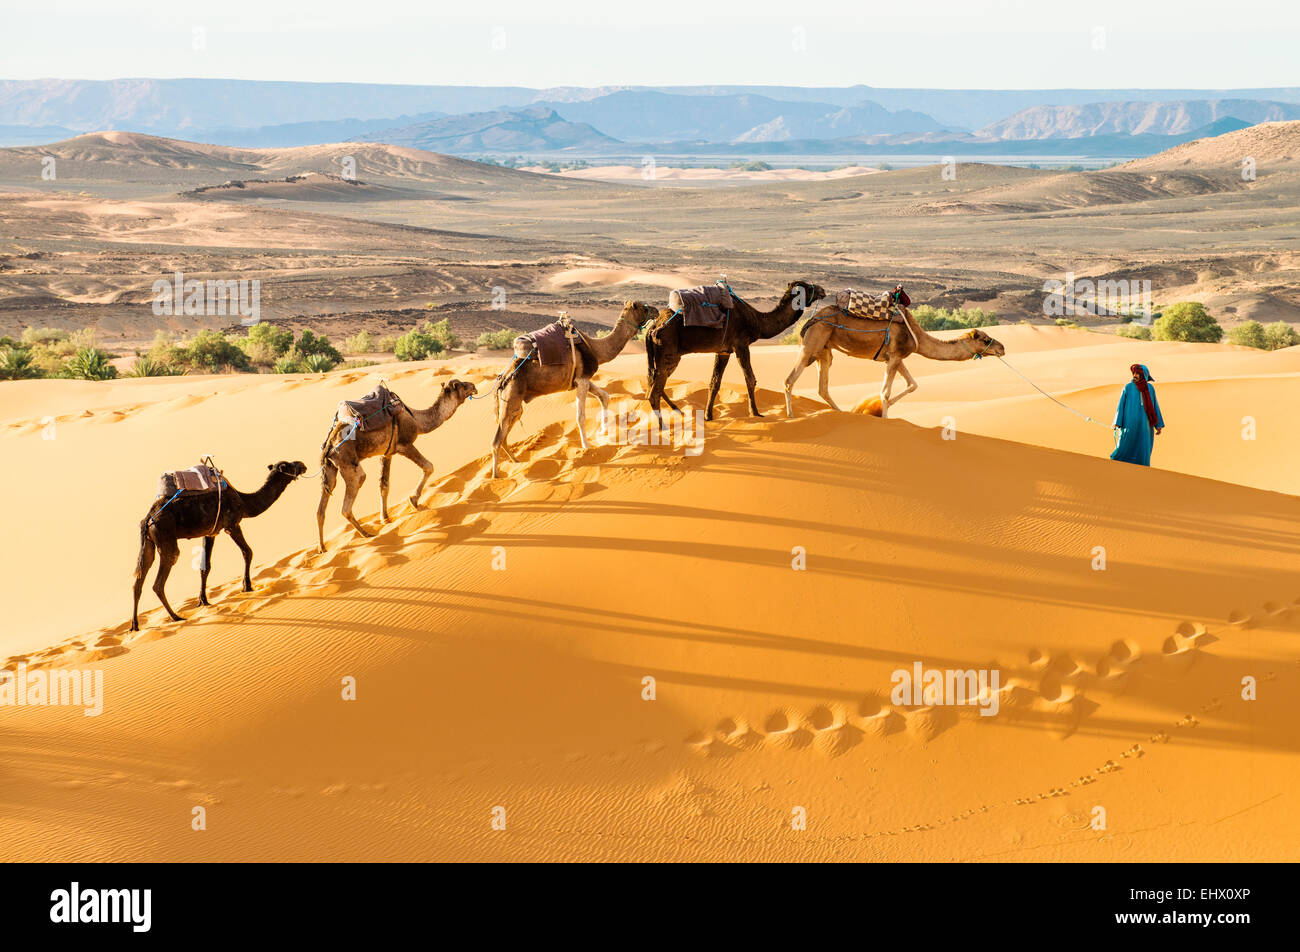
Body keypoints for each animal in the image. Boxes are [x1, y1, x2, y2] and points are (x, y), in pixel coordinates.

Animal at [131, 460, 308, 631]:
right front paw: (247, 586)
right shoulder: (232, 525)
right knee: (159, 582)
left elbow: (205, 567)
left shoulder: (210, 532)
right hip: (166, 538)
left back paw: (135, 625)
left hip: (149, 543)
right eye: (289, 465)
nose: (302, 464)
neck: (244, 502)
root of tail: (148, 518)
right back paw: (176, 617)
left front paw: (203, 601)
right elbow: (247, 551)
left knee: (138, 580)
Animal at [317, 378, 477, 551]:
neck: (417, 420)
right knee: (350, 498)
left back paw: (322, 548)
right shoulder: (405, 445)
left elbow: (384, 486)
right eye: (461, 385)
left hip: (330, 467)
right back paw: (366, 534)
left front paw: (385, 518)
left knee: (322, 507)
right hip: (347, 462)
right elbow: (429, 466)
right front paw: (413, 501)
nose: (474, 386)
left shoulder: (386, 453)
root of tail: (329, 444)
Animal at [491, 300, 659, 478]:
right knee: (497, 439)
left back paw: (516, 462)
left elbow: (604, 396)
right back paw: (496, 475)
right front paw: (586, 445)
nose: (656, 310)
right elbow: (580, 416)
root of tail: (503, 378)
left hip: (516, 404)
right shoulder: (582, 380)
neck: (595, 348)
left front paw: (603, 431)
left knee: (506, 433)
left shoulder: (581, 379)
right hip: (510, 397)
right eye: (643, 307)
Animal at [644, 279, 826, 425]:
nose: (822, 290)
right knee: (654, 391)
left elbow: (714, 382)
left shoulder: (723, 351)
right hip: (668, 351)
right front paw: (755, 413)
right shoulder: (741, 345)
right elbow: (750, 379)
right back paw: (663, 428)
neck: (758, 320)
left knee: (655, 382)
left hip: (669, 356)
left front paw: (709, 416)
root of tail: (652, 328)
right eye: (806, 287)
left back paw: (677, 410)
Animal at [783, 292, 1006, 418]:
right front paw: (883, 415)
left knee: (823, 387)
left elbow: (912, 384)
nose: (1002, 347)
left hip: (825, 350)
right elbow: (885, 392)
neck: (916, 335)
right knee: (789, 380)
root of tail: (811, 320)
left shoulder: (896, 358)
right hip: (812, 343)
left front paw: (881, 408)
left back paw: (843, 413)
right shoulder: (895, 356)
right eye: (985, 339)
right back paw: (791, 415)